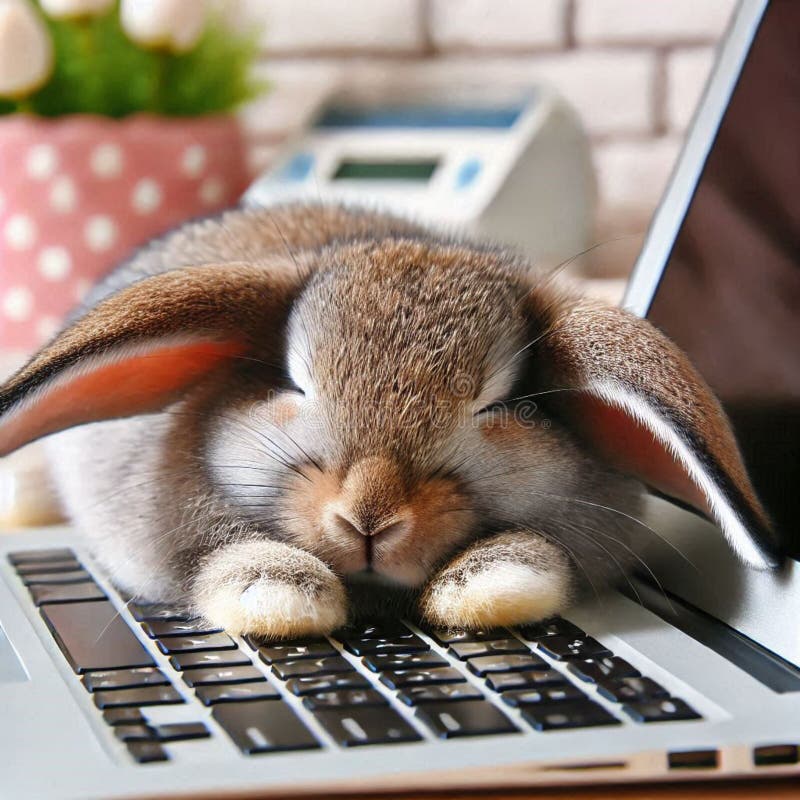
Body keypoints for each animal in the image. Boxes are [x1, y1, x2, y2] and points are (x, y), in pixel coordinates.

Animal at [0, 204, 782, 638]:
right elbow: (226, 553)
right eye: (294, 380)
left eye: (505, 403)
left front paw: (487, 591)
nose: (369, 517)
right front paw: (285, 600)